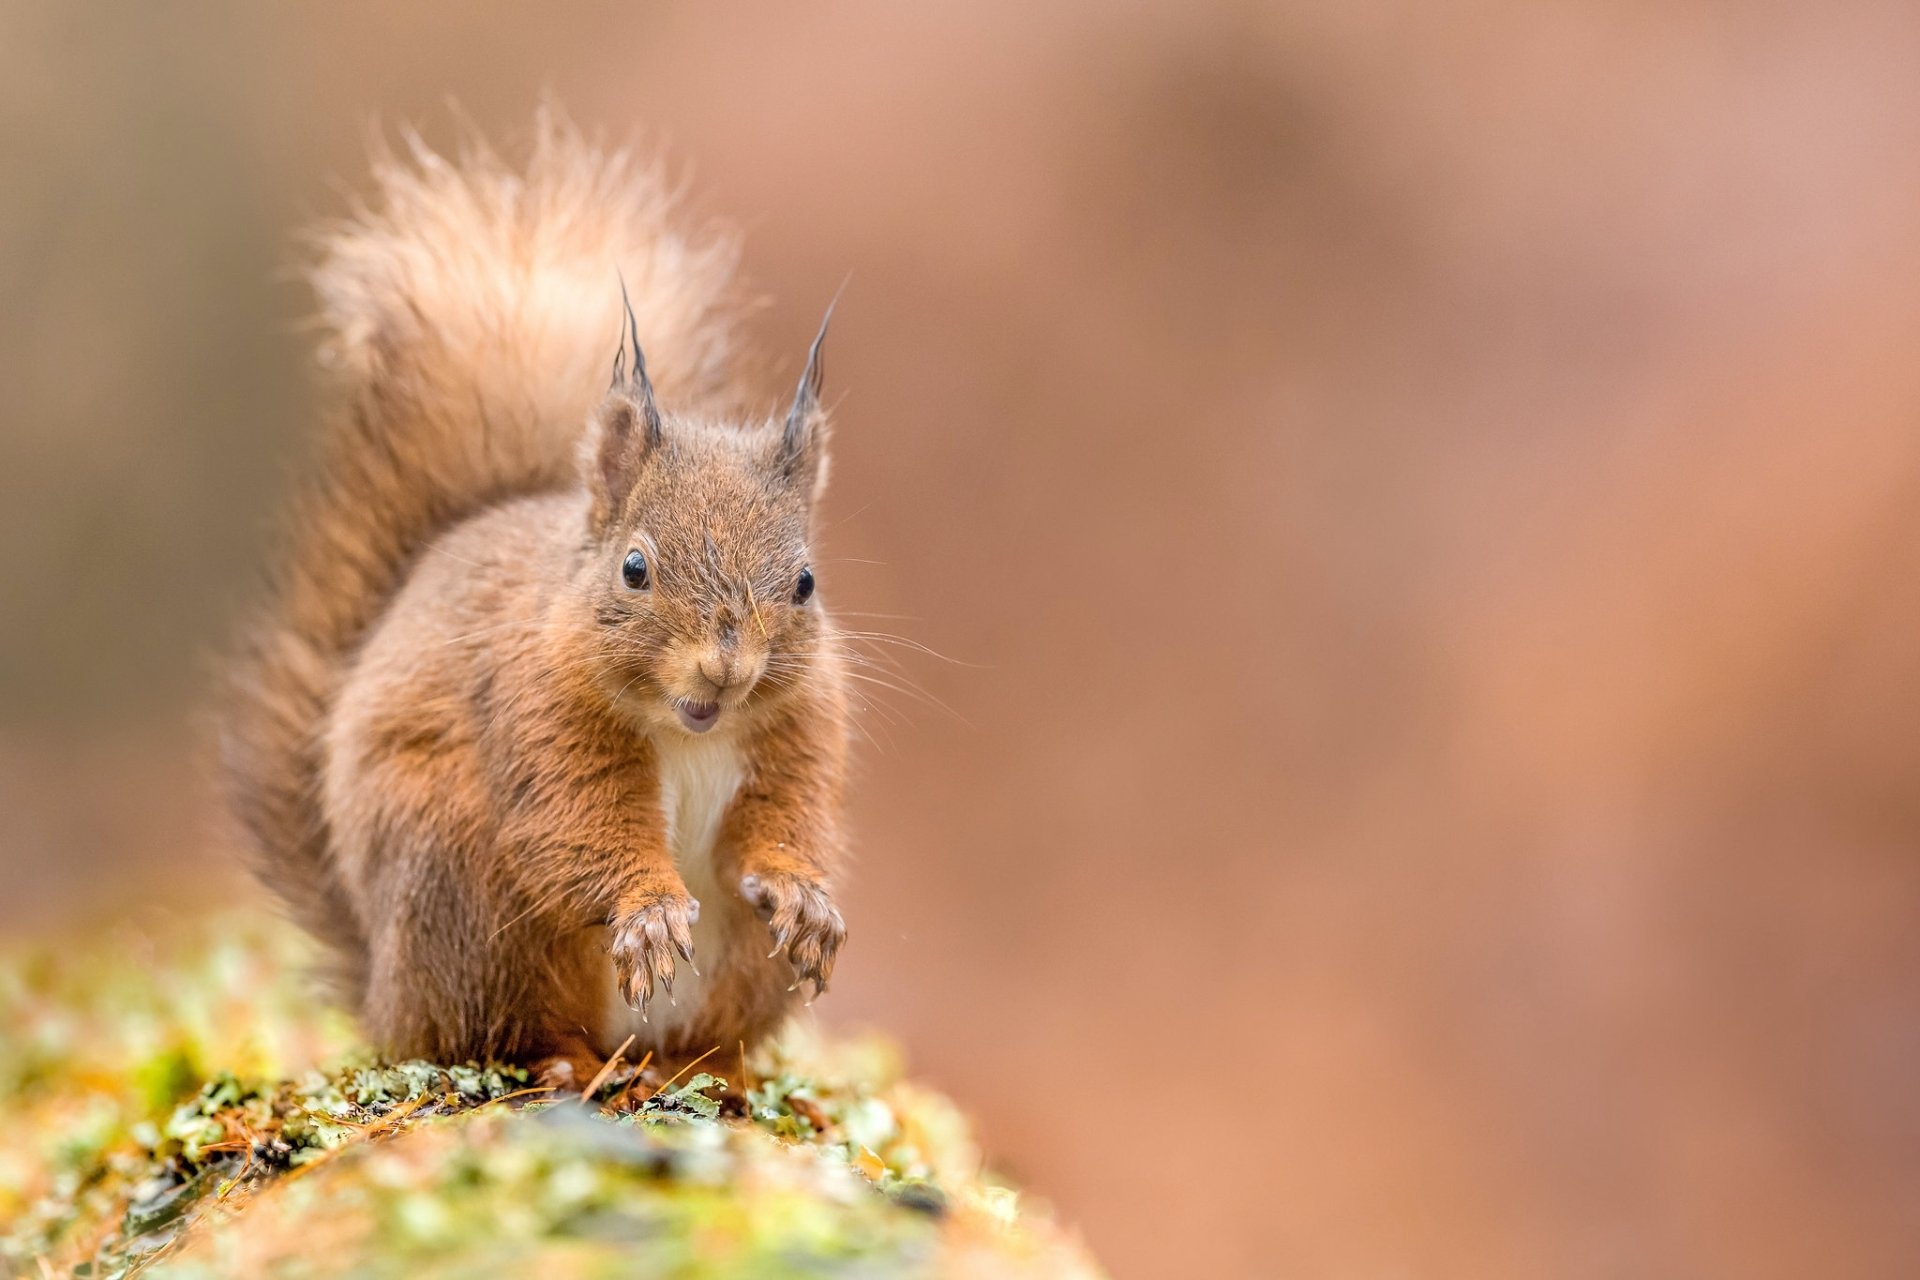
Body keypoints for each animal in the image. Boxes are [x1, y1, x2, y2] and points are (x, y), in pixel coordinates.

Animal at [219, 117, 851, 1087]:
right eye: (634, 568)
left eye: (806, 583)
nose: (726, 668)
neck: (689, 729)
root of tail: (383, 989)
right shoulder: (536, 712)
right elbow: (575, 825)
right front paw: (647, 908)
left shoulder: (802, 731)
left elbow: (786, 817)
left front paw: (802, 891)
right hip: (470, 897)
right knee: (487, 1032)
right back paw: (574, 1064)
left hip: (737, 972)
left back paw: (709, 1071)